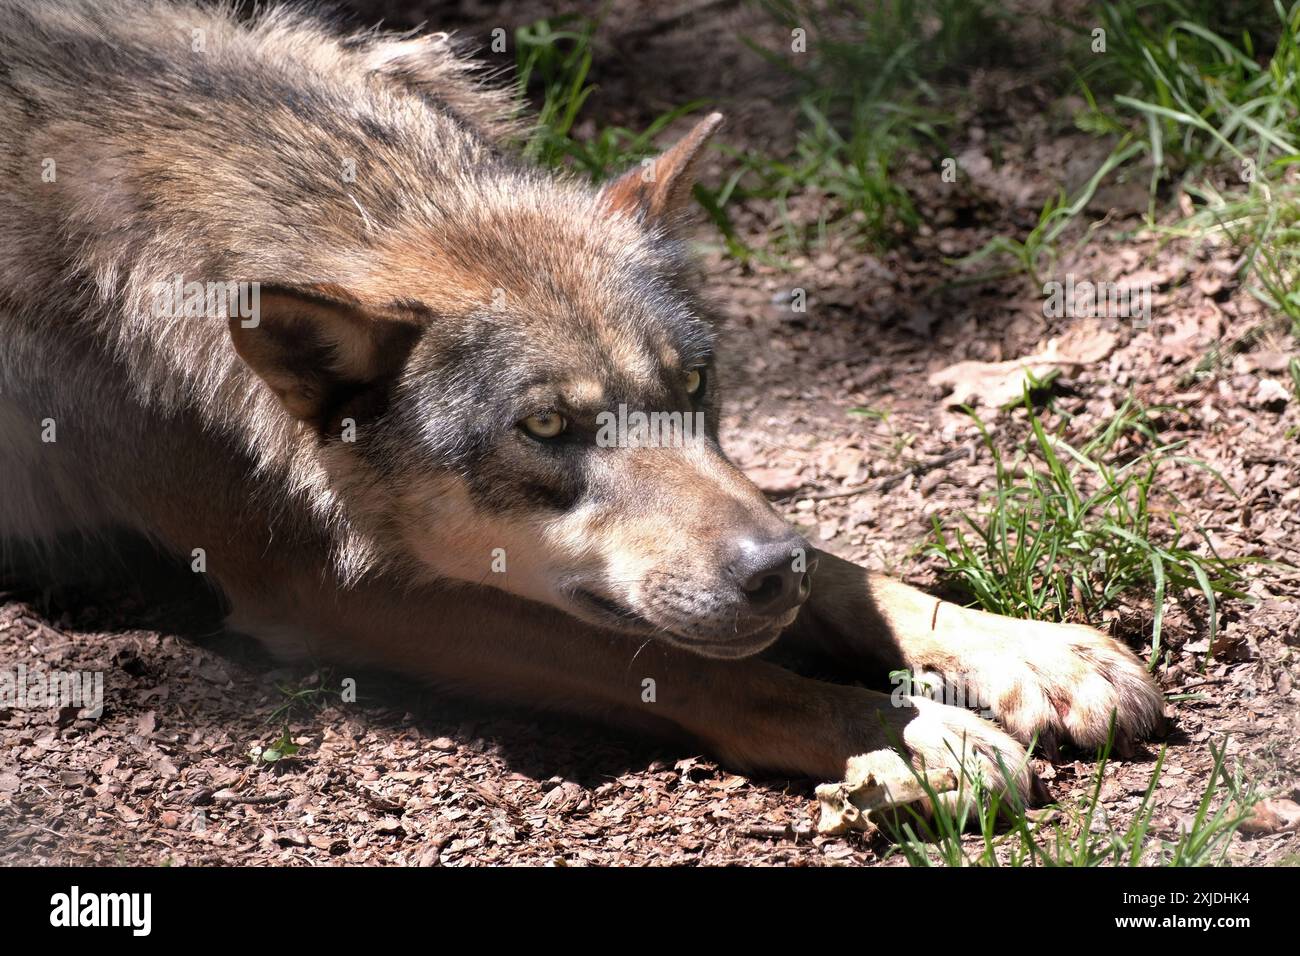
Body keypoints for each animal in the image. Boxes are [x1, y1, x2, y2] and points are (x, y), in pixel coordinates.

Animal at [0, 0, 1164, 800]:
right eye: (547, 427)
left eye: (692, 383)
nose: (768, 573)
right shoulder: (318, 586)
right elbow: (685, 667)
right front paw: (905, 734)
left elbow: (852, 574)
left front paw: (1029, 651)